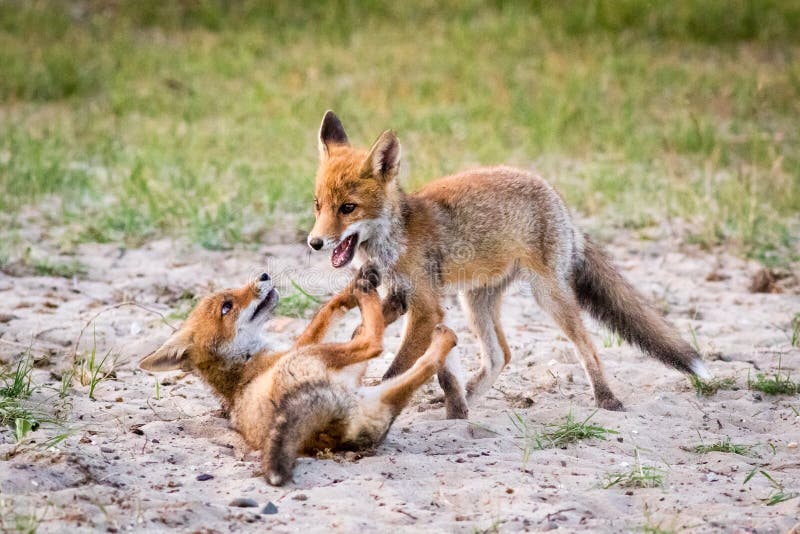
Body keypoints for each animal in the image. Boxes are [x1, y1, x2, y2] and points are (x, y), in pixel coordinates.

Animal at [138, 266, 459, 486]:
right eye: (227, 307)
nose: (263, 275)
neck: (242, 365)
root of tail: (329, 432)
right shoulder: (304, 349)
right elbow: (331, 324)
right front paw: (360, 288)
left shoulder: (325, 358)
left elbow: (328, 311)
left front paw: (350, 290)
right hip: (320, 358)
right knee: (373, 343)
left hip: (377, 396)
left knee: (422, 364)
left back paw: (441, 338)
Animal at [306, 110, 711, 419]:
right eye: (318, 205)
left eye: (348, 208)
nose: (314, 242)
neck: (395, 237)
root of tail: (556, 196)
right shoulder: (400, 298)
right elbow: (366, 334)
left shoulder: (425, 307)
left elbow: (395, 369)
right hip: (475, 301)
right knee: (501, 355)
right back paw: (462, 402)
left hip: (548, 296)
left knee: (586, 345)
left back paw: (606, 399)